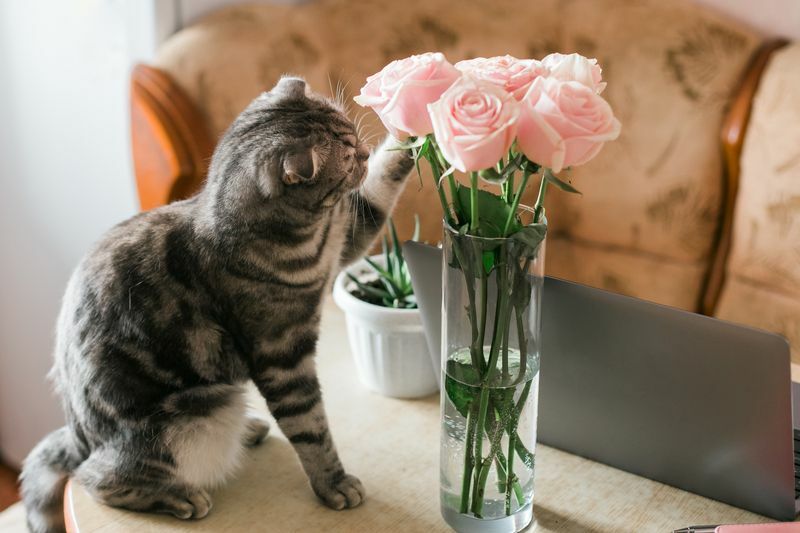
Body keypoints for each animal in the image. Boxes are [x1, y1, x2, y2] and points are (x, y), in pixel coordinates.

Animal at [20, 76, 412, 532]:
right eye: (348, 156)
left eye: (352, 131)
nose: (363, 151)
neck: (310, 237)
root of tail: (76, 434)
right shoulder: (283, 358)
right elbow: (311, 430)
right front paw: (333, 482)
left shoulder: (347, 236)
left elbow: (385, 177)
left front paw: (416, 118)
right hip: (196, 417)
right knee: (96, 478)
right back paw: (179, 496)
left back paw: (250, 431)